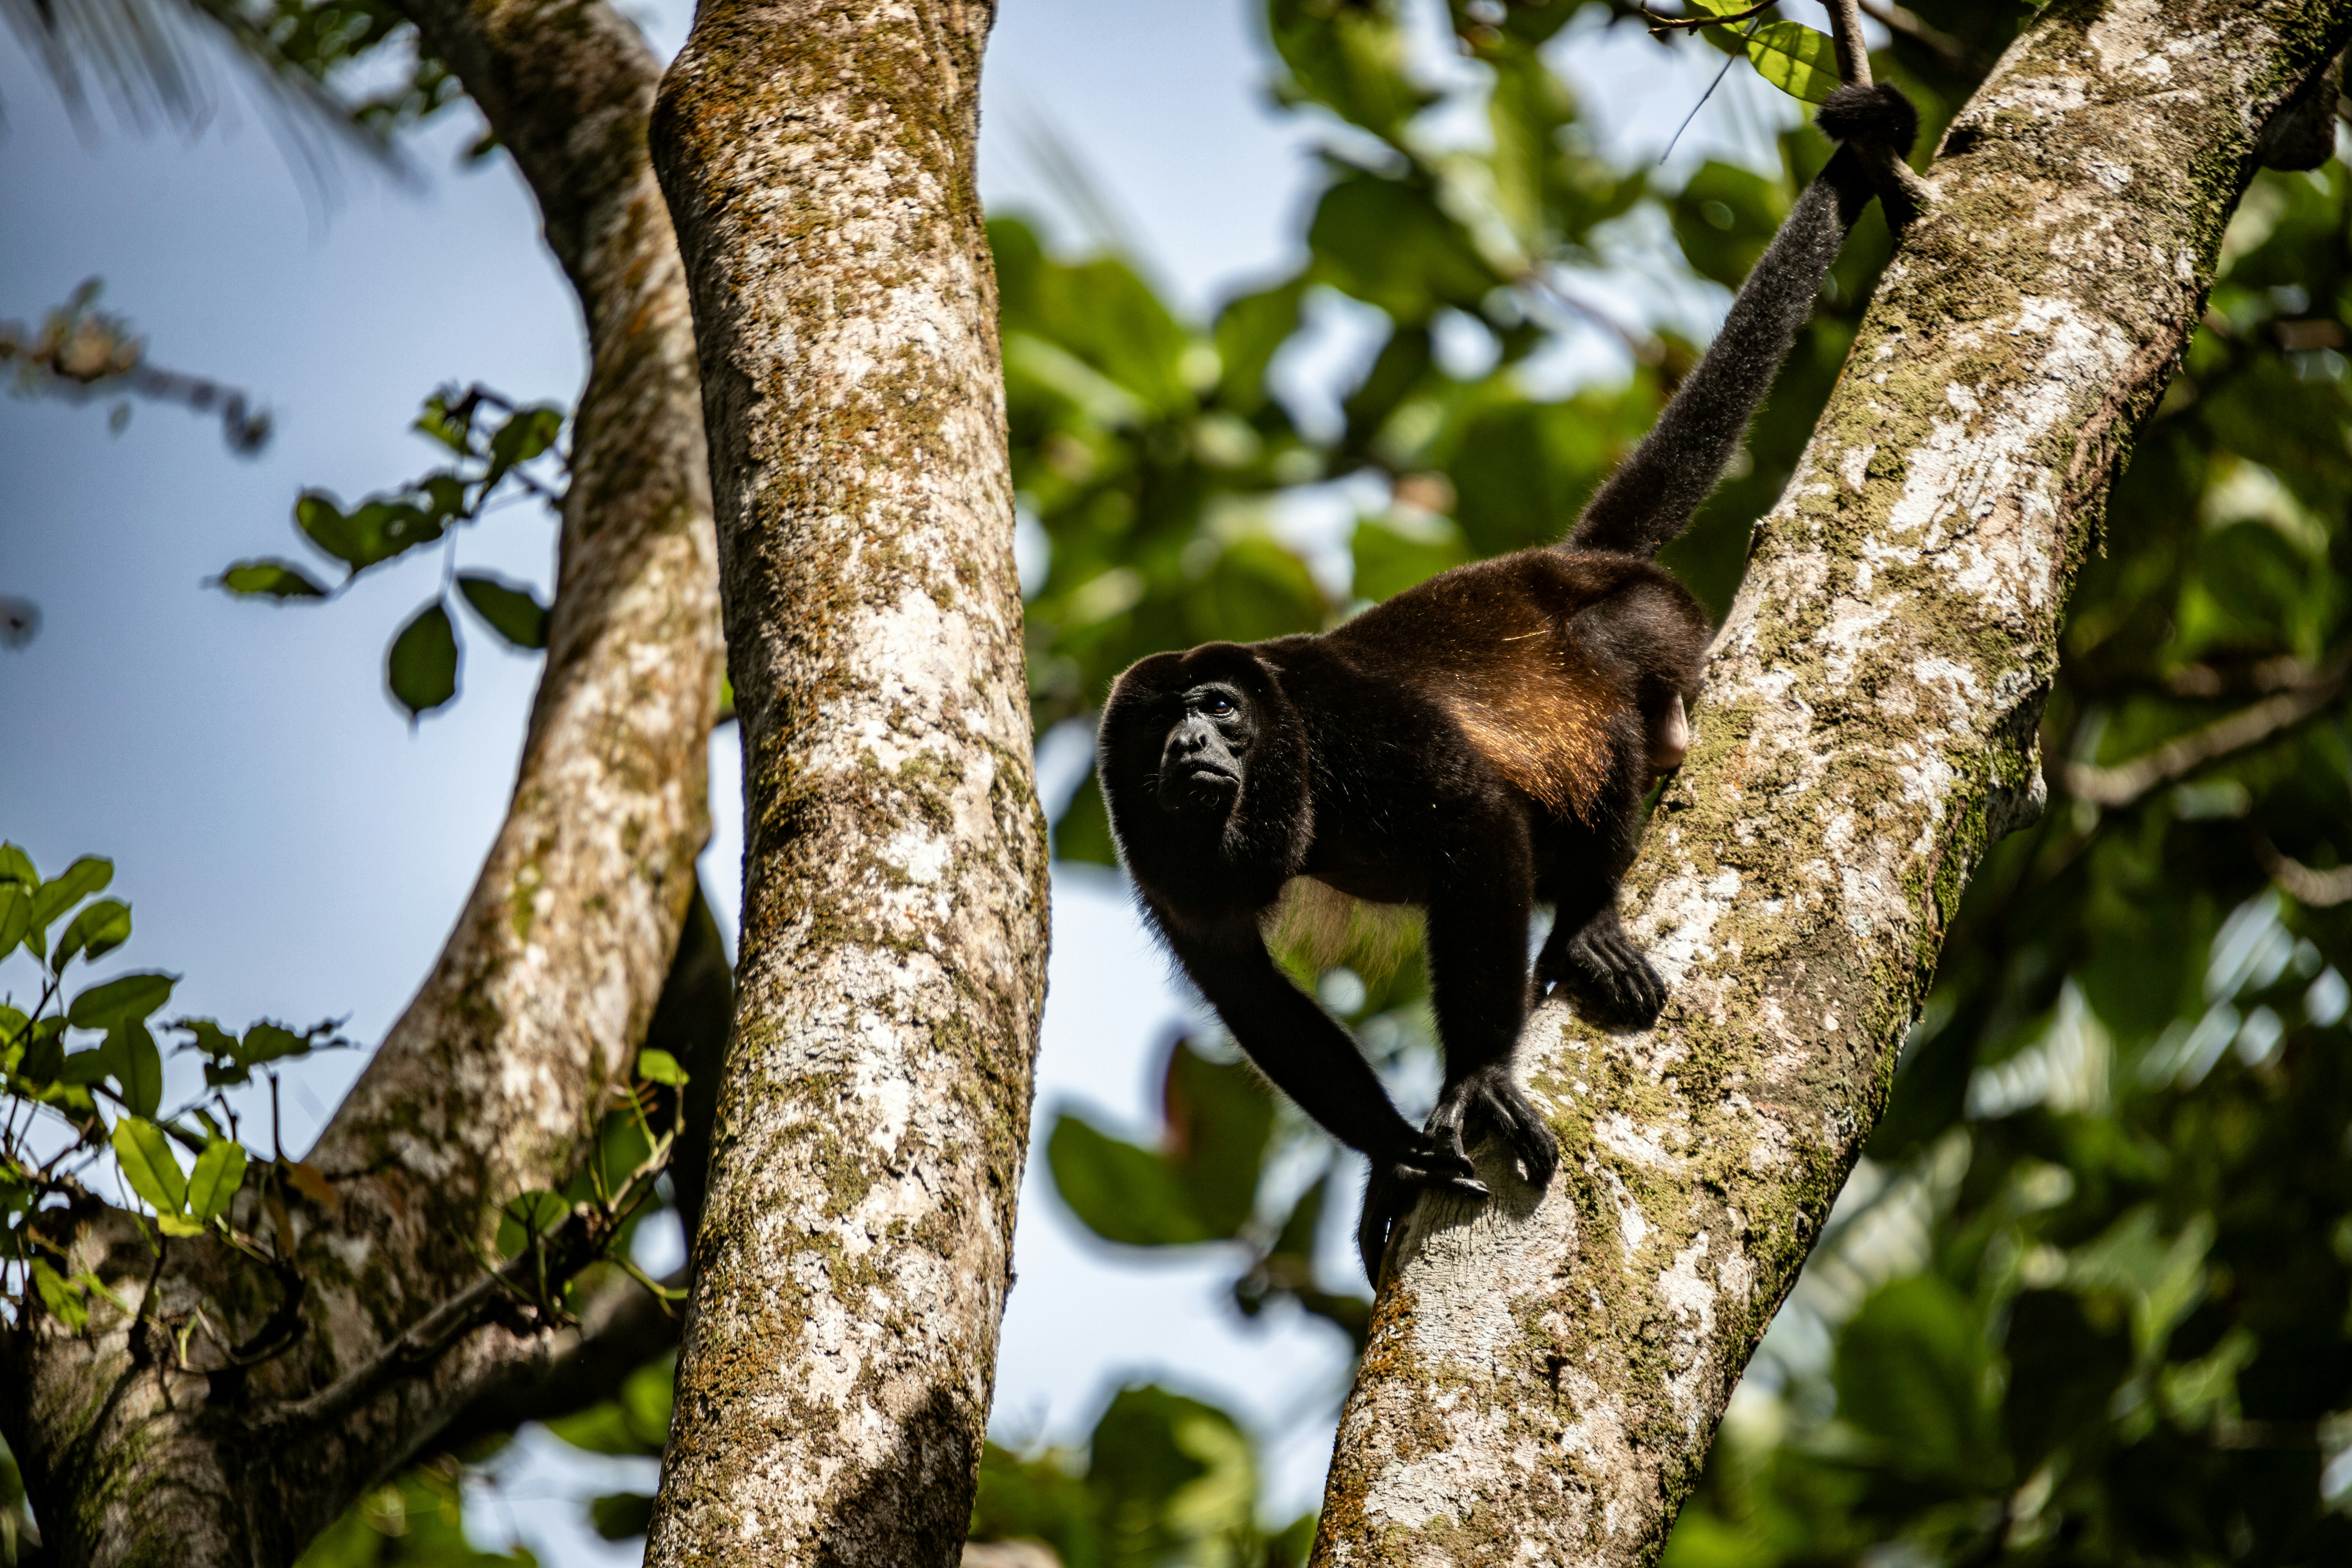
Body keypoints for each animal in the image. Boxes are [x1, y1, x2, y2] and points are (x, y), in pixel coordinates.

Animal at [1096, 84, 1920, 1283]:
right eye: (1161, 724)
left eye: (1219, 709)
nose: (1190, 747)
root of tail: (1566, 556)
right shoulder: (1156, 861)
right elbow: (1249, 993)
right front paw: (1393, 1157)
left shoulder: (1349, 726)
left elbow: (1477, 822)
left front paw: (1479, 1077)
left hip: (1648, 614)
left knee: (1611, 685)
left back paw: (1585, 917)